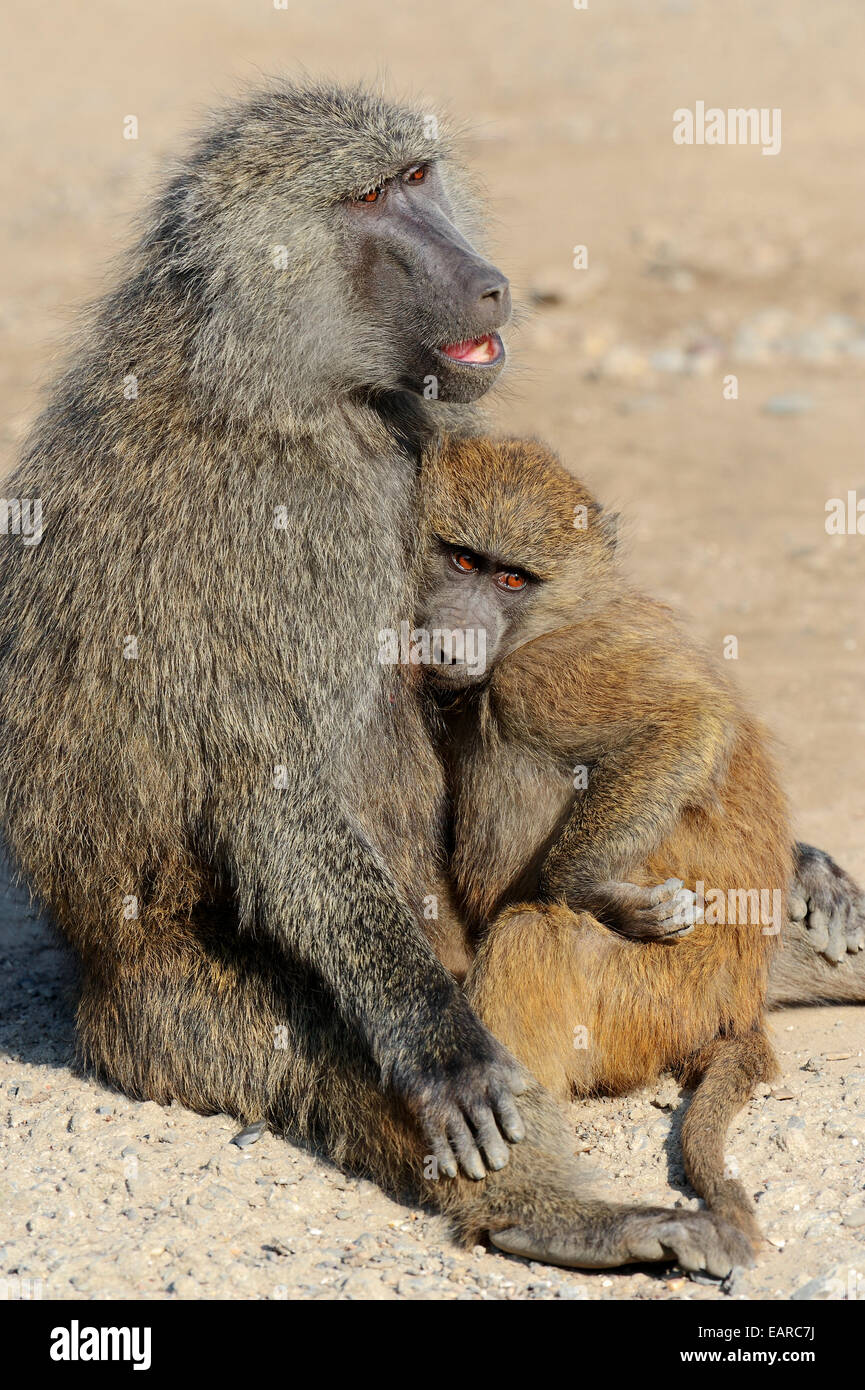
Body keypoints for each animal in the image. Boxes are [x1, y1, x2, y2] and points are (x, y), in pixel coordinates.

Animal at [416, 434, 865, 1251]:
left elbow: (683, 723)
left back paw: (530, 1217)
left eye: (511, 578)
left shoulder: (542, 674)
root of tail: (738, 1000)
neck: (560, 612)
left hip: (651, 997)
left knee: (534, 934)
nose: (453, 636)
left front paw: (593, 890)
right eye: (462, 561)